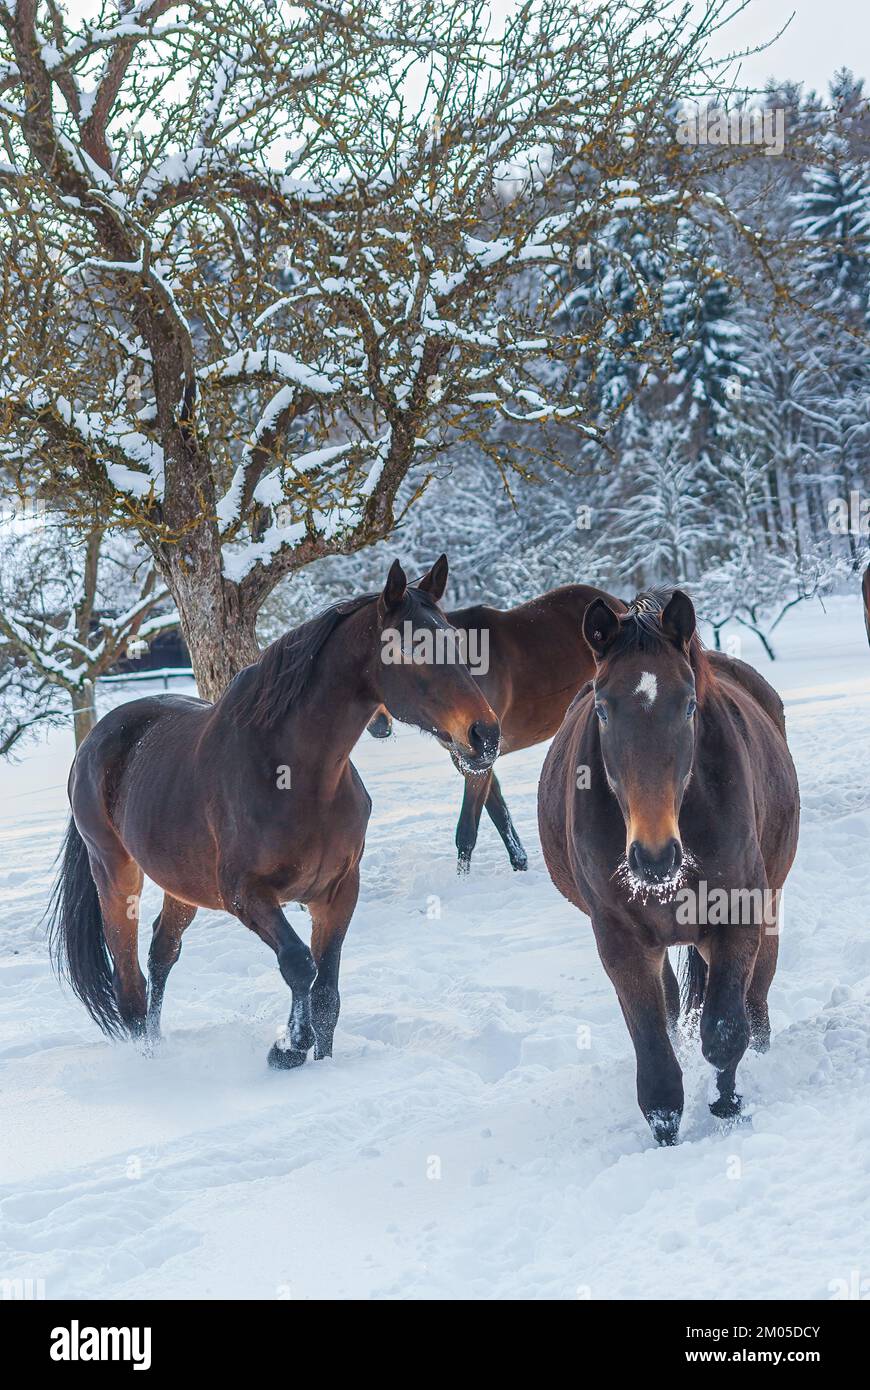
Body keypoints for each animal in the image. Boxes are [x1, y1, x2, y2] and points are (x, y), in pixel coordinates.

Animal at [47, 557, 500, 1070]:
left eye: (457, 641)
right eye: (412, 648)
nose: (485, 736)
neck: (297, 779)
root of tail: (94, 742)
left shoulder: (337, 893)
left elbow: (327, 992)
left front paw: (318, 1058)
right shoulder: (246, 895)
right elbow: (300, 964)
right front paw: (289, 1047)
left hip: (181, 884)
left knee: (162, 952)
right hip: (116, 875)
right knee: (128, 983)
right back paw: (151, 1058)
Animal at [367, 583, 626, 872]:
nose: (378, 725)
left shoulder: (481, 757)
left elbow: (467, 829)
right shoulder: (471, 755)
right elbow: (499, 813)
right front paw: (520, 863)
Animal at [537, 589, 800, 1145]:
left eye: (689, 705)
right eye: (603, 709)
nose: (654, 855)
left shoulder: (738, 917)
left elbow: (725, 1032)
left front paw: (728, 1108)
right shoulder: (621, 942)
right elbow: (657, 1064)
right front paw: (666, 1137)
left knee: (756, 1007)